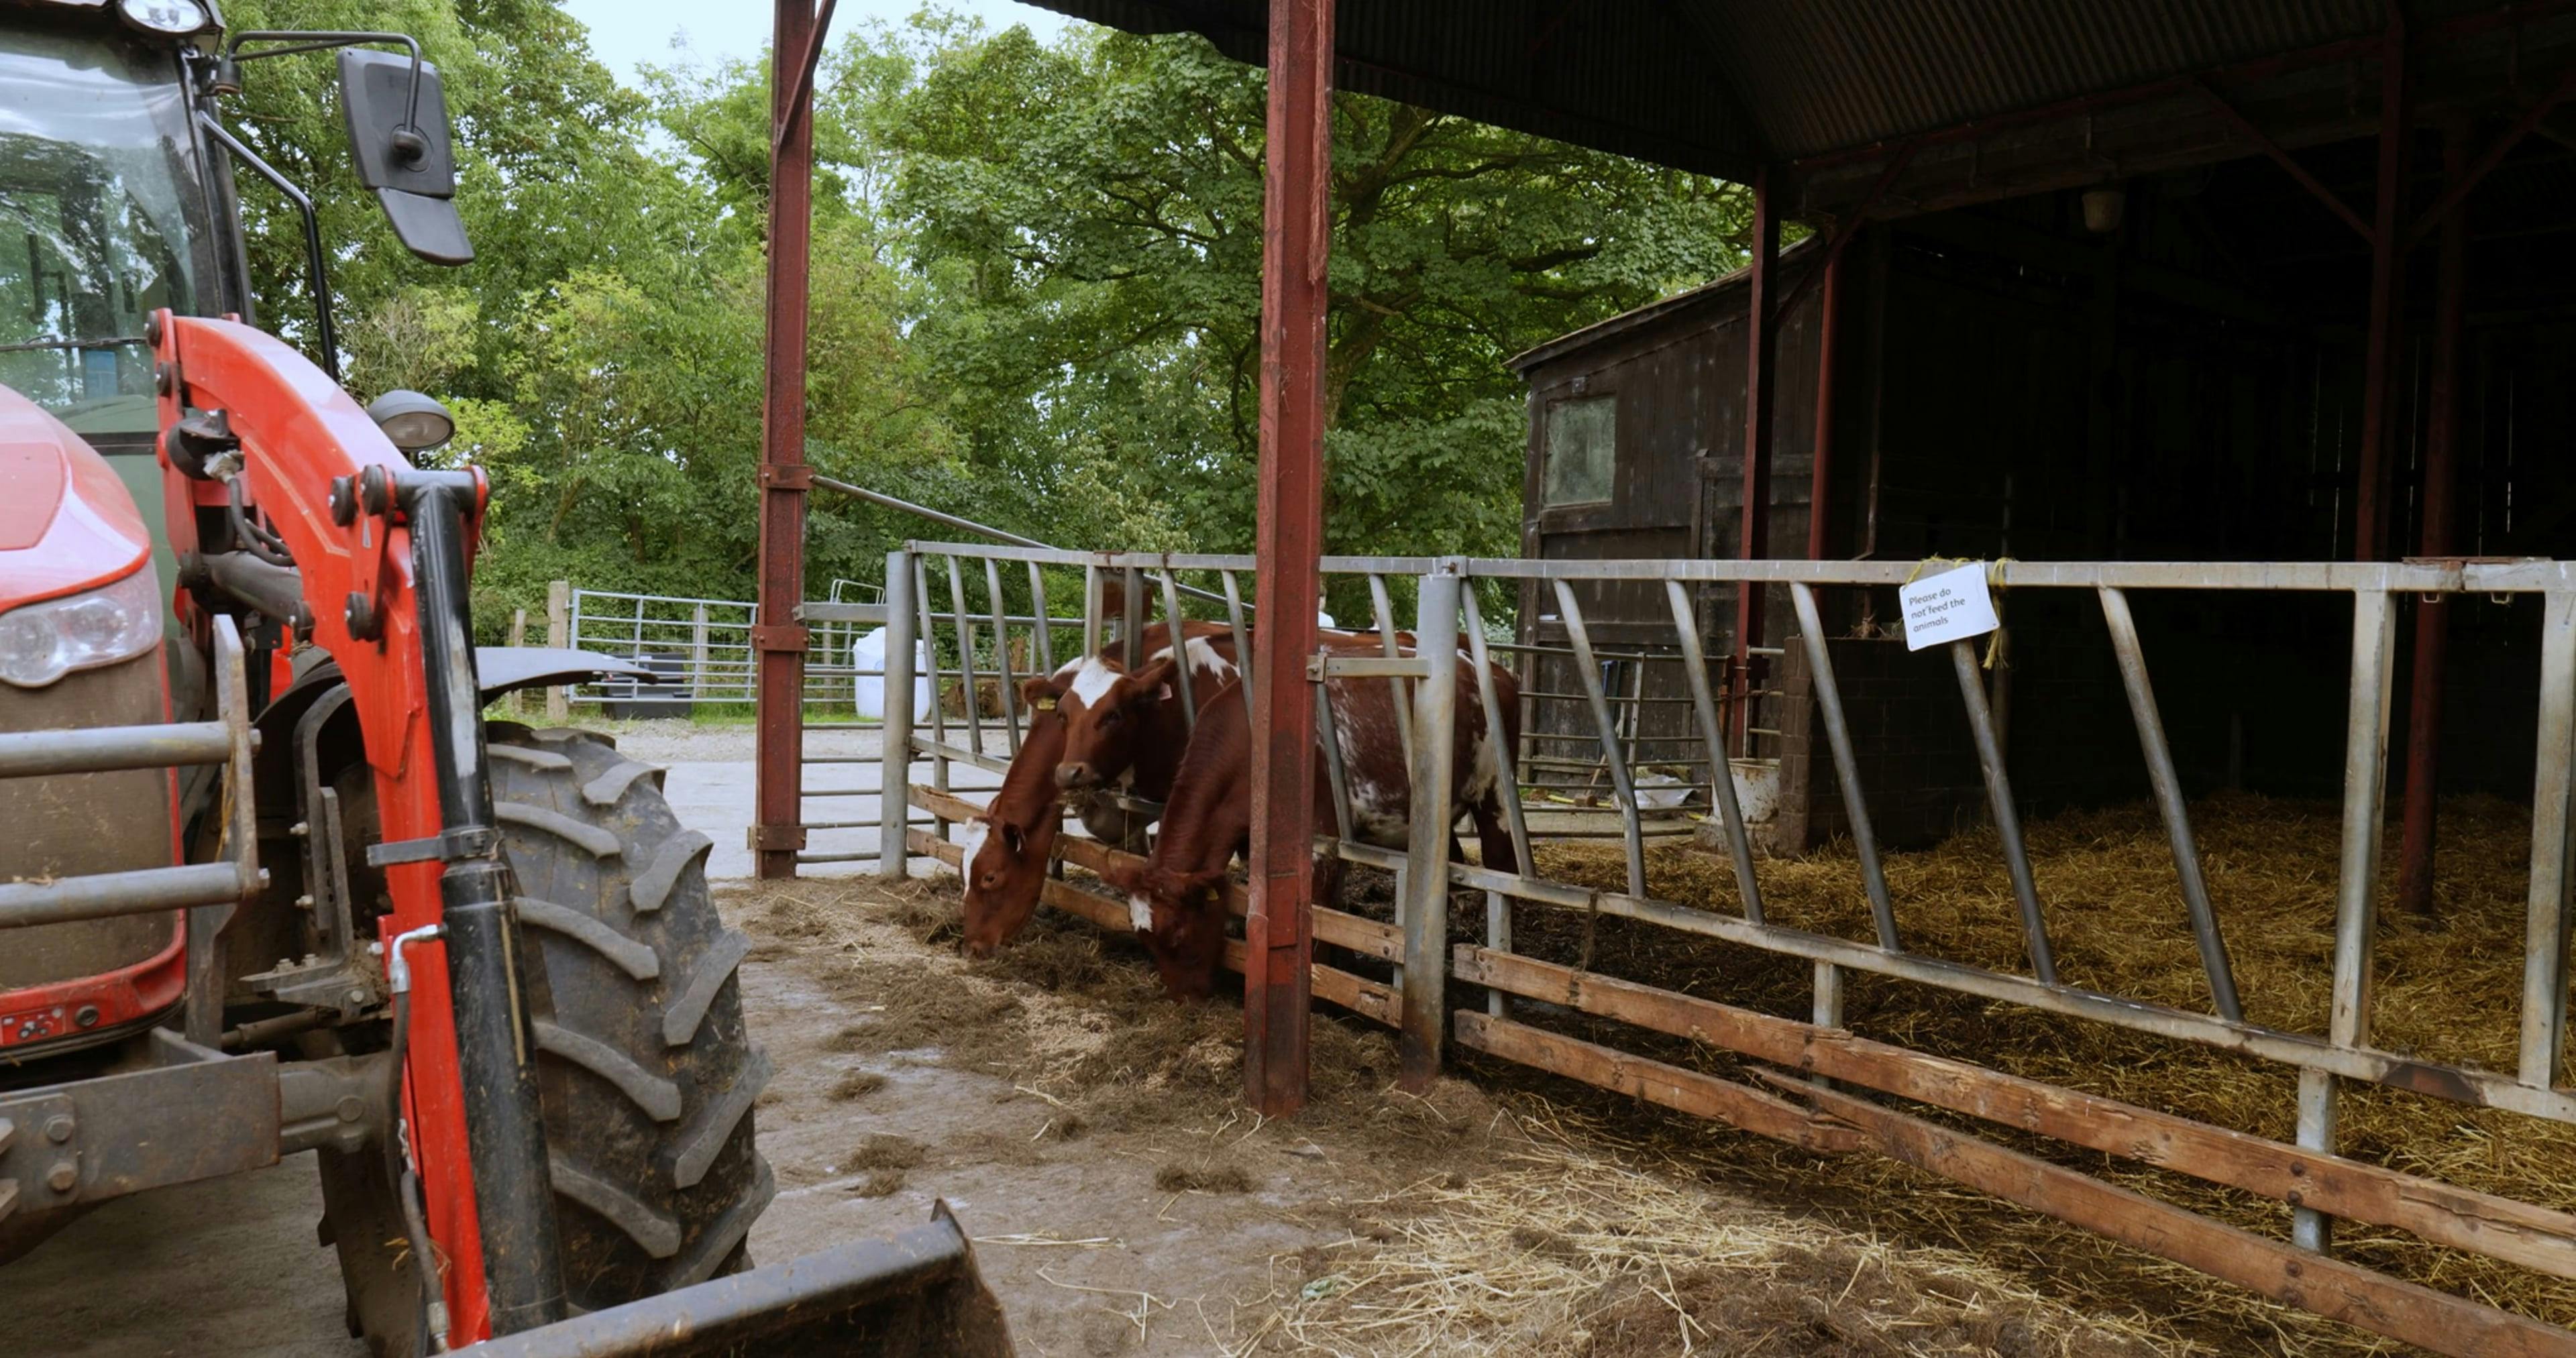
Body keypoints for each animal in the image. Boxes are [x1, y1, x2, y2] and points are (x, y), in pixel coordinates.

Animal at [1100, 639, 1521, 1000]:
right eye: (1146, 940)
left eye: (1177, 934)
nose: (1183, 999)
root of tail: (1493, 670)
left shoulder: (1321, 840)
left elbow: (1318, 916)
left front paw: (1320, 986)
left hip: (1496, 794)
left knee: (1503, 865)